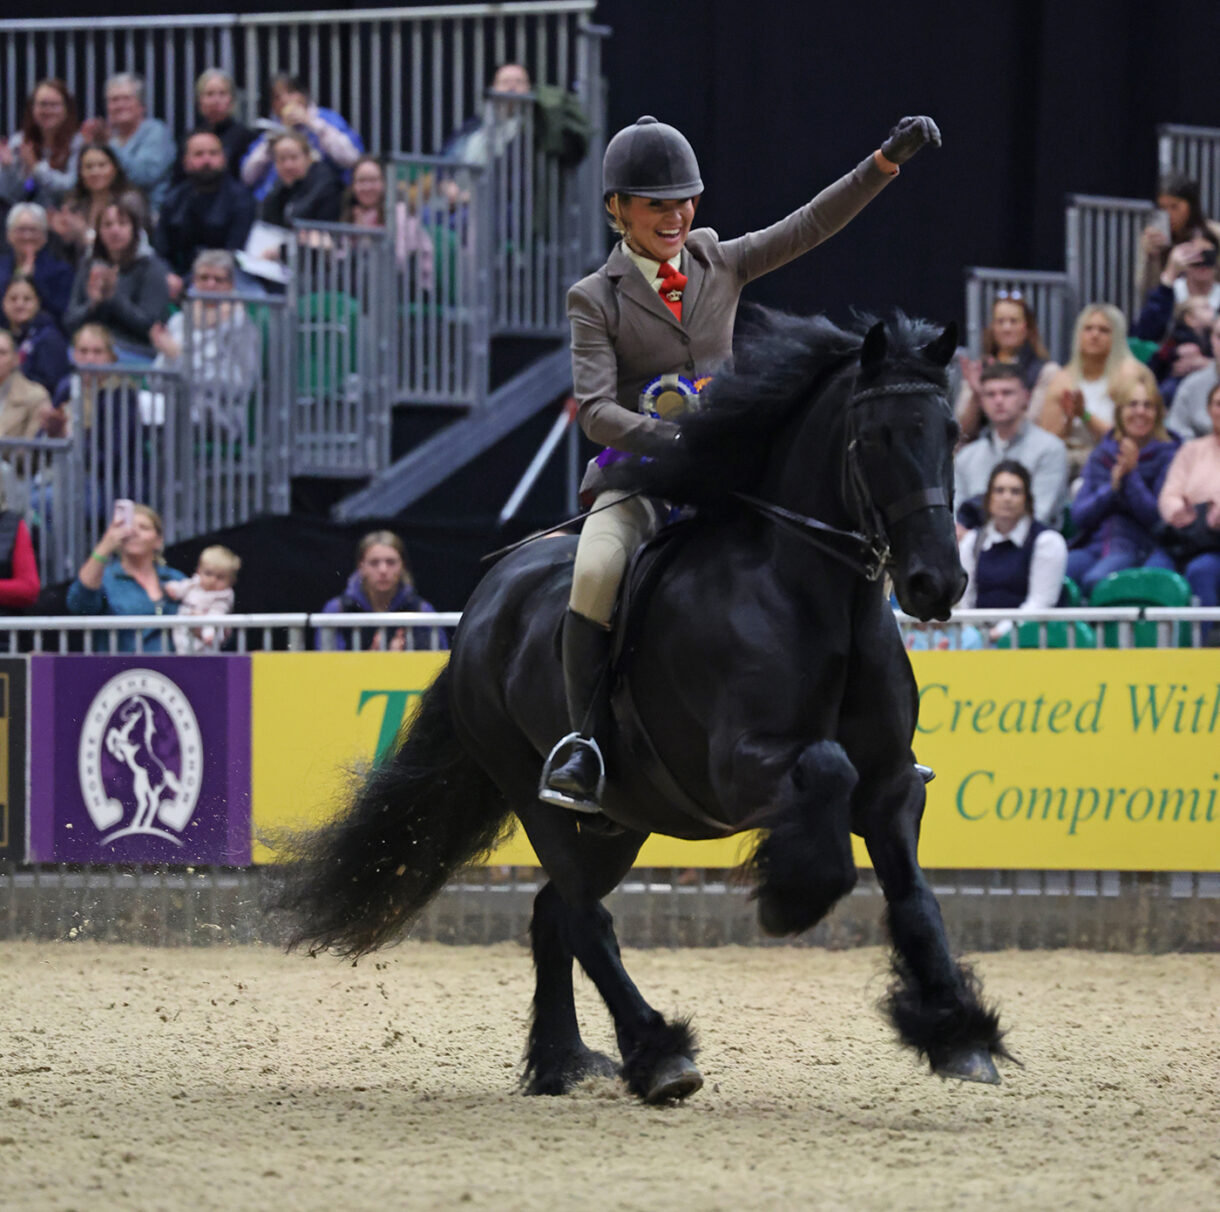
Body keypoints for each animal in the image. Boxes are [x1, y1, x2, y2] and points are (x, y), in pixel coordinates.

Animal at [273, 311, 1010, 1103]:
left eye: (951, 433)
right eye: (873, 437)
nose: (937, 582)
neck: (815, 600)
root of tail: (480, 608)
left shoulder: (893, 780)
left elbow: (915, 897)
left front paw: (958, 1031)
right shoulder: (739, 767)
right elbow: (825, 768)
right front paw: (793, 897)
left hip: (620, 820)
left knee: (554, 913)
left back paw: (564, 1060)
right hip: (538, 795)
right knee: (583, 916)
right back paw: (658, 1055)